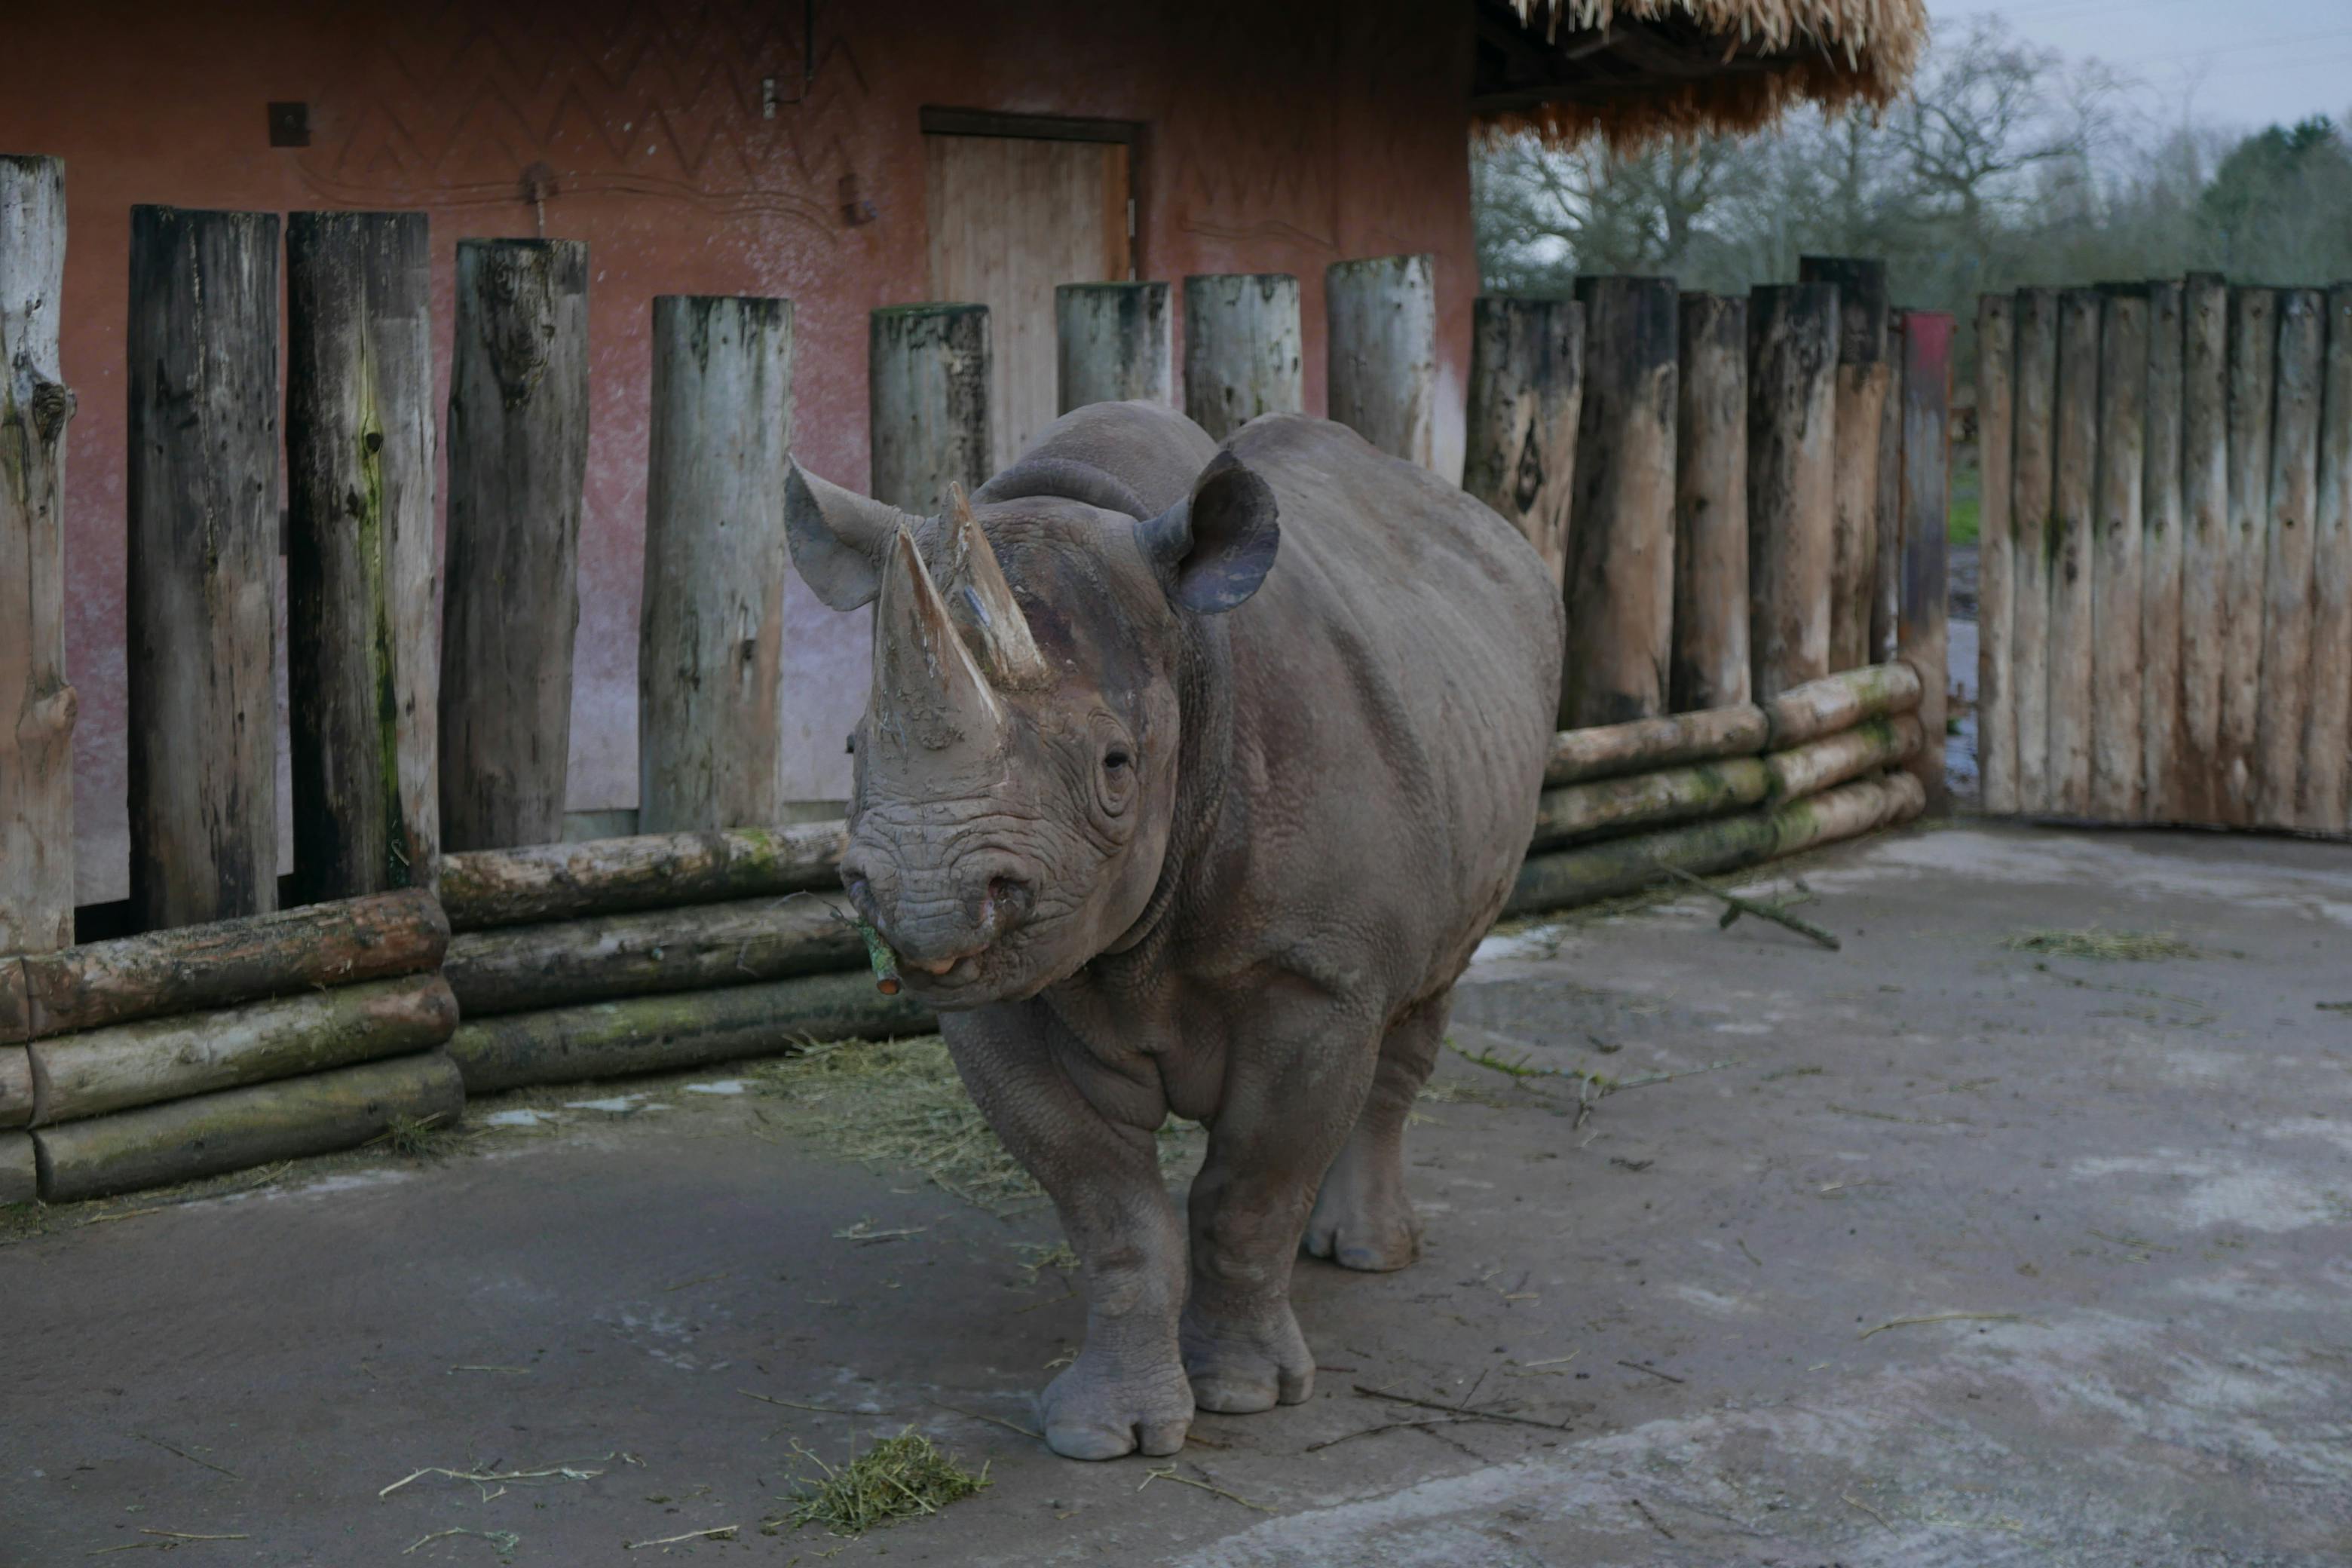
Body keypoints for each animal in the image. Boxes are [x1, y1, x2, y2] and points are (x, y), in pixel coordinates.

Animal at [785, 402, 1562, 1460]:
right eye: (854, 747)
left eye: (1118, 766)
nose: (930, 908)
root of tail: (1480, 522)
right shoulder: (998, 1006)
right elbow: (1112, 1213)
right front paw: (1104, 1433)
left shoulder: (1314, 975)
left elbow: (1247, 1193)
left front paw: (1245, 1394)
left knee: (1426, 992)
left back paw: (1367, 1252)